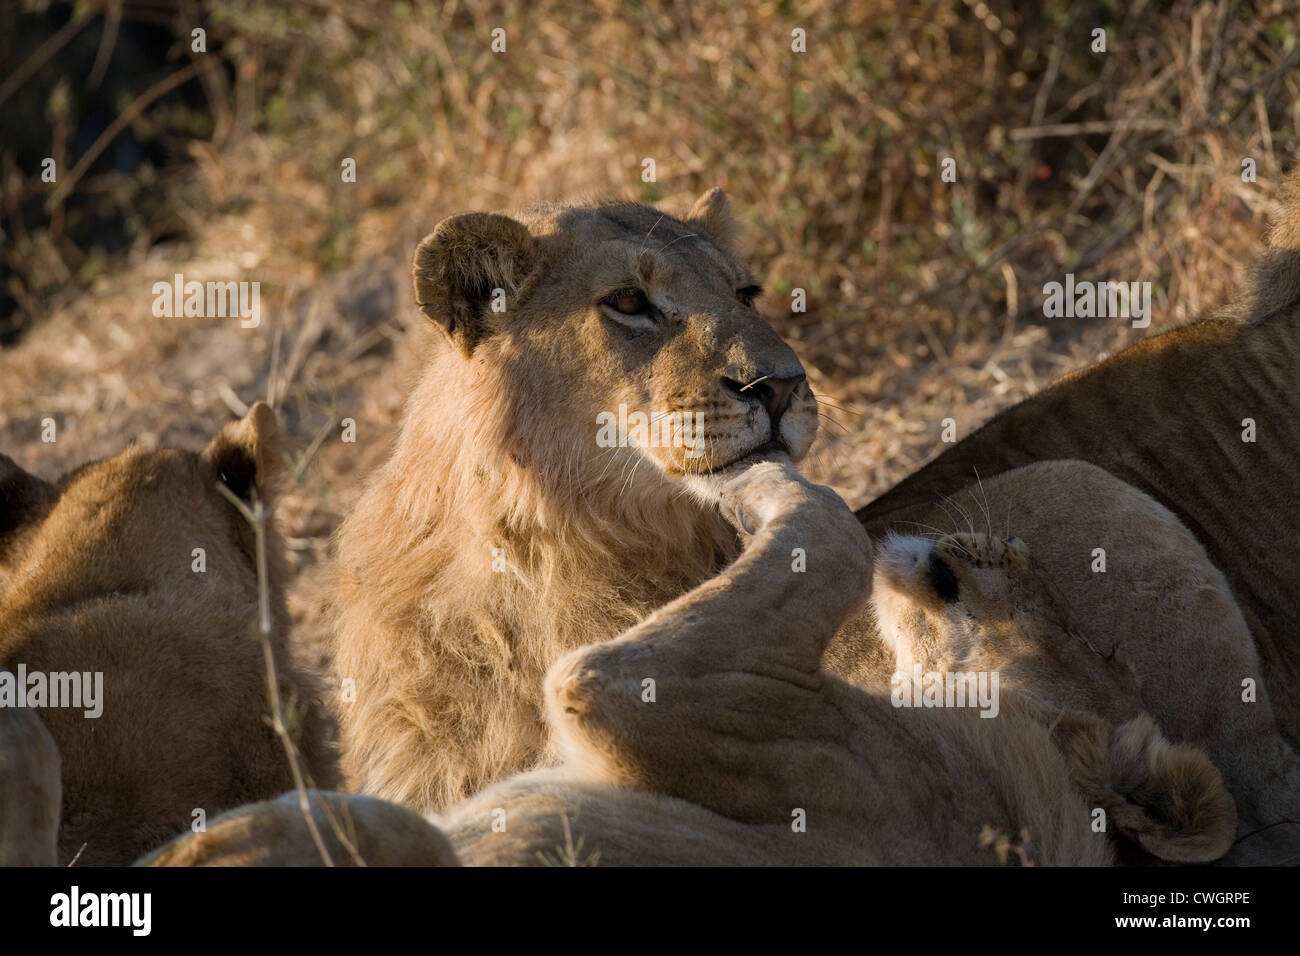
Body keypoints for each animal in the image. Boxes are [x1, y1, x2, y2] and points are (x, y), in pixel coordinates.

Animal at [147, 463, 1233, 866]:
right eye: (1099, 640)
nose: (1010, 544)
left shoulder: (645, 699)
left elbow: (828, 525)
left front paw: (734, 470)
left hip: (401, 839)